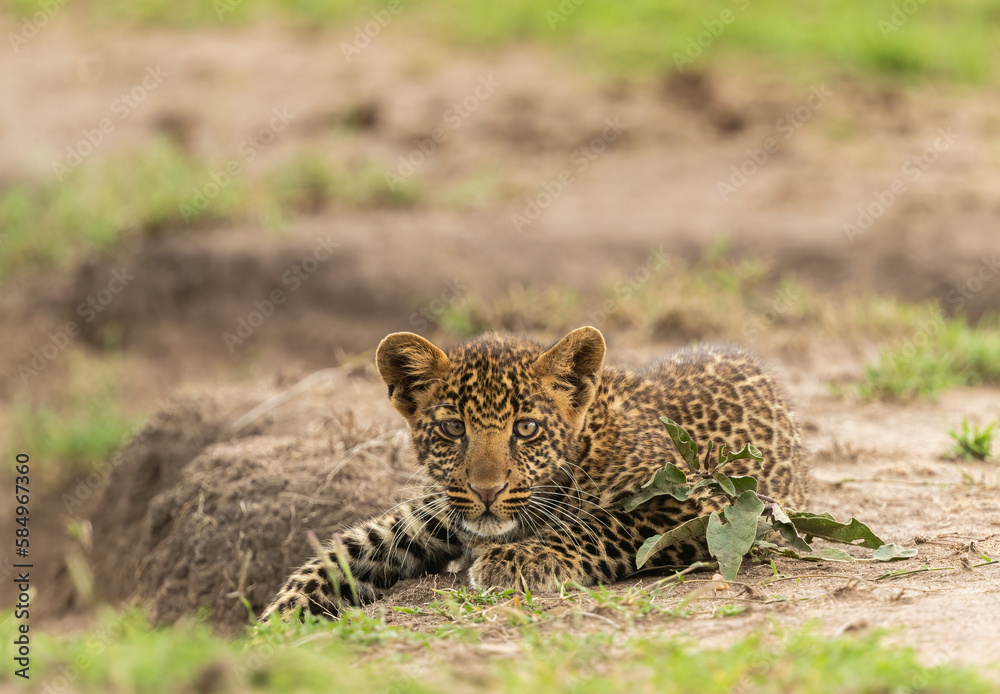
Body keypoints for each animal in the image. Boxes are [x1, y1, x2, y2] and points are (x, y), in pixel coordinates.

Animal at [261, 326, 805, 621]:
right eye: (453, 428)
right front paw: (278, 618)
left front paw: (512, 560)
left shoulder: (699, 505)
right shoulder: (437, 510)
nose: (487, 491)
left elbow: (601, 524)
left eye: (526, 428)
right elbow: (355, 548)